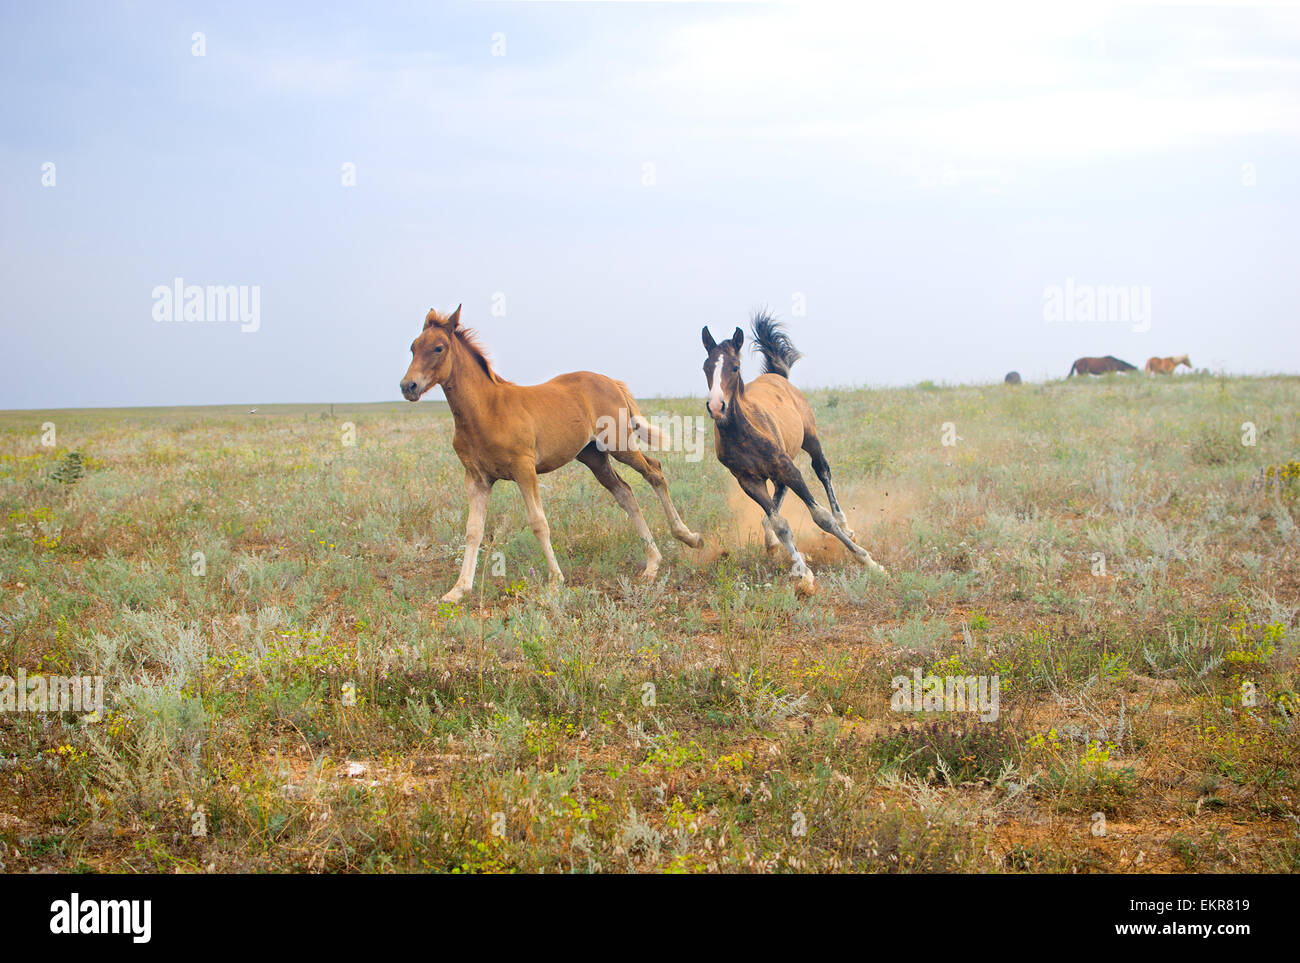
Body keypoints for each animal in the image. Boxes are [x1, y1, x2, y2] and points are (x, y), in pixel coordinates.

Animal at [400, 305, 703, 603]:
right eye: (413, 347)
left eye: (438, 348)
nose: (408, 386)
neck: (486, 410)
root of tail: (611, 381)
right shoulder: (477, 478)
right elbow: (473, 529)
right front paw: (459, 589)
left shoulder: (524, 469)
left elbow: (538, 522)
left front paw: (556, 580)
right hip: (594, 457)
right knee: (625, 493)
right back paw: (653, 562)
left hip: (620, 445)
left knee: (654, 472)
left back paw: (688, 538)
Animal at [701, 312, 885, 594]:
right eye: (706, 367)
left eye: (734, 367)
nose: (716, 406)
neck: (742, 433)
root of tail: (777, 376)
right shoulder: (748, 480)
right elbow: (781, 524)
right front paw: (803, 573)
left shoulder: (788, 468)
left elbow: (822, 517)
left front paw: (868, 561)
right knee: (778, 498)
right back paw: (772, 542)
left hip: (810, 440)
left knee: (823, 471)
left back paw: (846, 525)